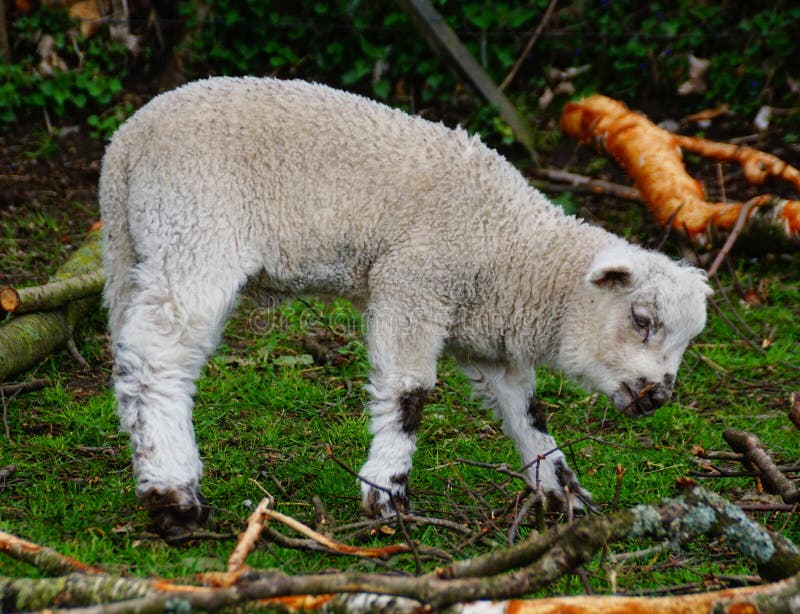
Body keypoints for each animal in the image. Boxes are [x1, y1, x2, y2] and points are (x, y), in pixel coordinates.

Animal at [100, 76, 711, 534]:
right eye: (642, 320)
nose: (659, 395)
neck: (514, 254)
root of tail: (126, 144)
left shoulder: (482, 330)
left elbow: (525, 409)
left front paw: (562, 490)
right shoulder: (414, 282)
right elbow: (409, 394)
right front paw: (386, 493)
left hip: (139, 249)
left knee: (131, 354)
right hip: (196, 229)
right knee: (159, 357)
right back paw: (174, 495)